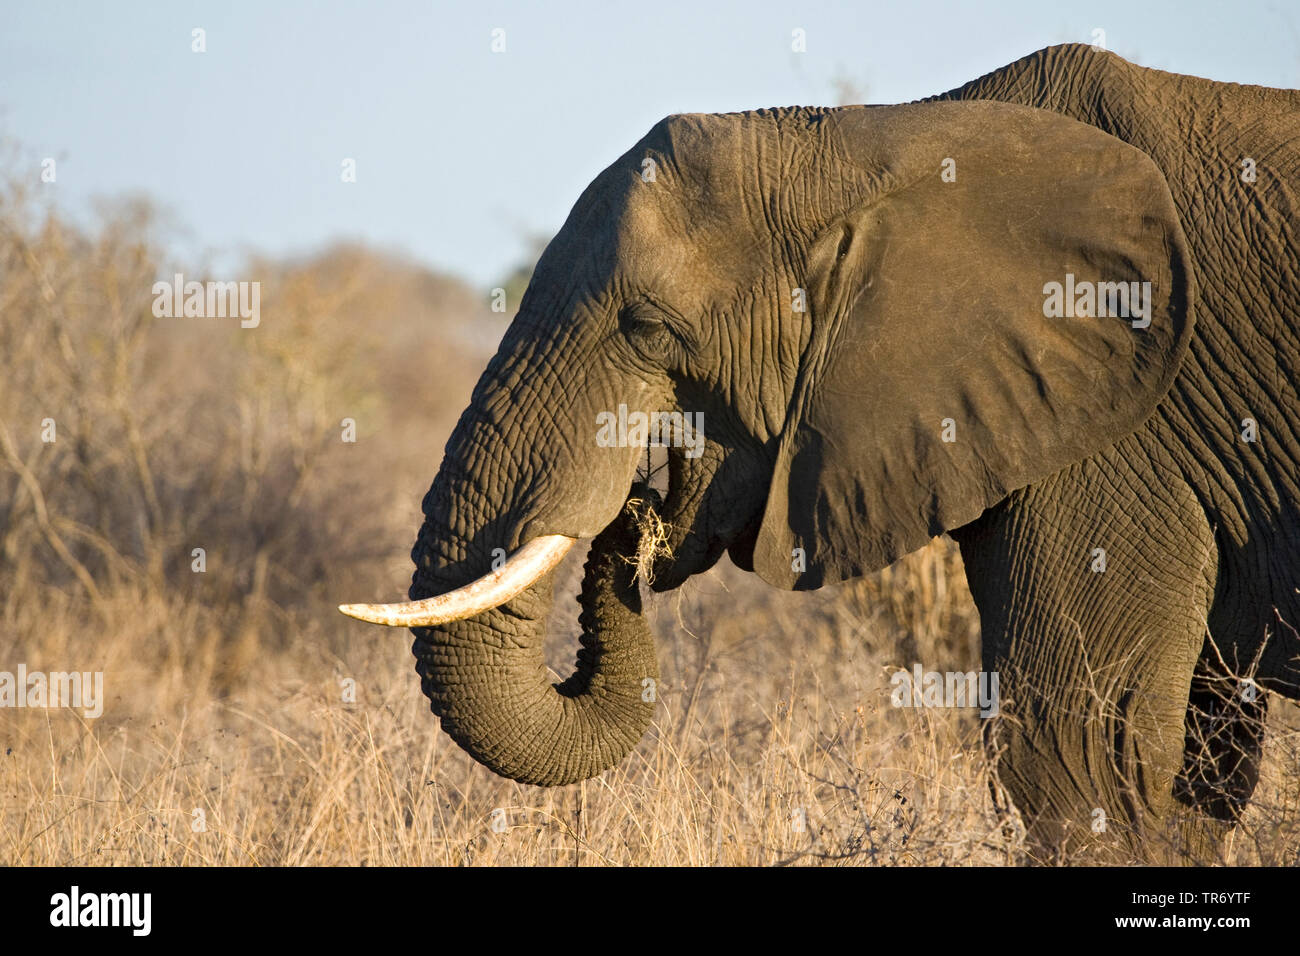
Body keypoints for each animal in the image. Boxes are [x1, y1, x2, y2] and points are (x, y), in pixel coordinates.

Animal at [341, 44, 1300, 863]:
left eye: (647, 330)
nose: (635, 510)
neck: (881, 142)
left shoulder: (1126, 422)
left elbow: (1082, 756)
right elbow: (1194, 773)